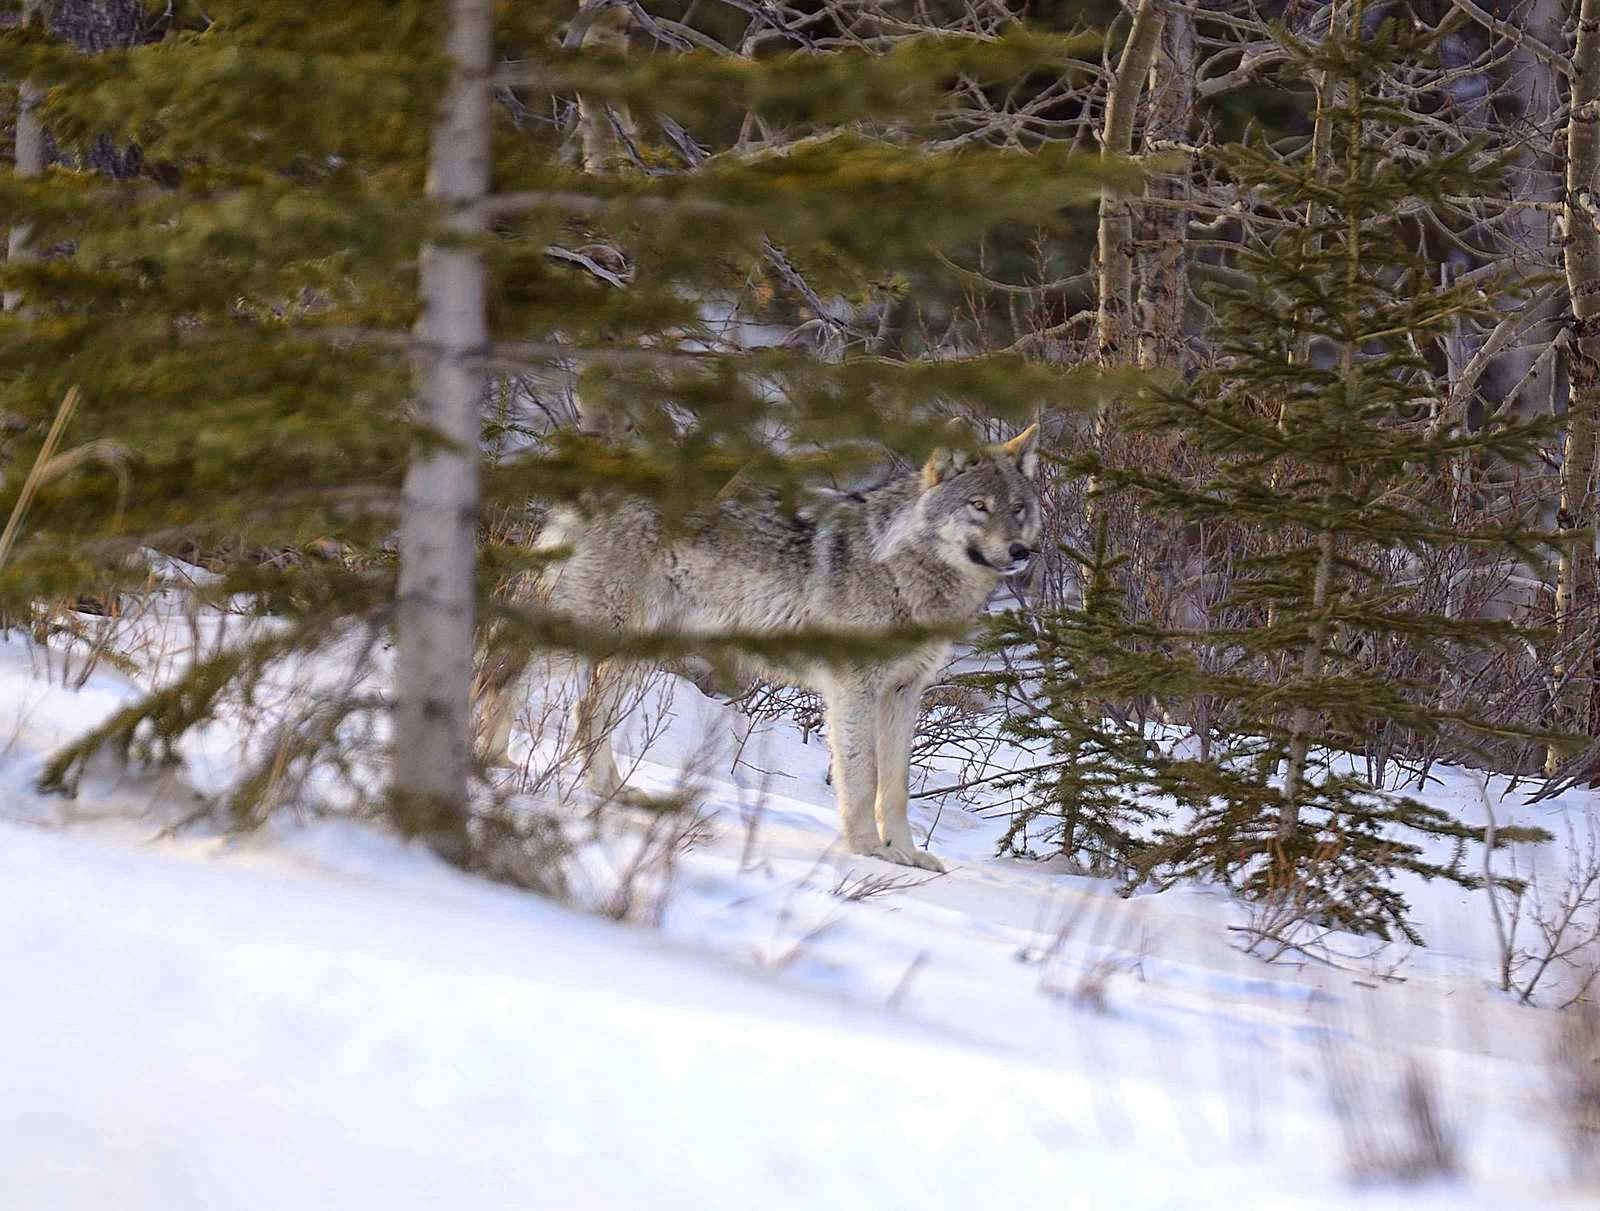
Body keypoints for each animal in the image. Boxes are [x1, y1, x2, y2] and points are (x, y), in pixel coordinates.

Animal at [479, 424, 1041, 871]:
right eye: (979, 506)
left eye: (1017, 509)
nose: (1021, 552)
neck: (903, 567)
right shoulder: (853, 690)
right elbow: (862, 779)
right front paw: (865, 851)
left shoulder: (904, 695)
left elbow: (897, 787)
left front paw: (903, 853)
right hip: (594, 634)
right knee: (500, 664)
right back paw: (490, 761)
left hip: (636, 652)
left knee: (586, 712)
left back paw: (614, 792)